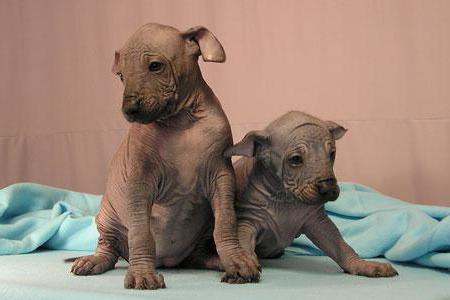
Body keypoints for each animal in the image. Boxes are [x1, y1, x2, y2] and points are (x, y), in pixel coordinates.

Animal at [70, 24, 260, 290]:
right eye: (121, 77)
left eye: (155, 66)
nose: (129, 110)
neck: (181, 120)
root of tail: (169, 261)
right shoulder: (139, 181)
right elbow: (140, 232)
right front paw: (141, 274)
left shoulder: (222, 176)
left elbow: (225, 223)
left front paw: (237, 261)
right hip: (107, 217)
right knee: (109, 246)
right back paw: (94, 261)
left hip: (201, 232)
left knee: (199, 254)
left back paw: (218, 261)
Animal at [224, 111, 398, 278]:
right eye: (295, 159)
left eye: (332, 154)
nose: (329, 187)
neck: (285, 198)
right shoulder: (248, 221)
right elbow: (243, 245)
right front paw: (243, 264)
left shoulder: (317, 221)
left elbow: (341, 246)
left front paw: (364, 265)